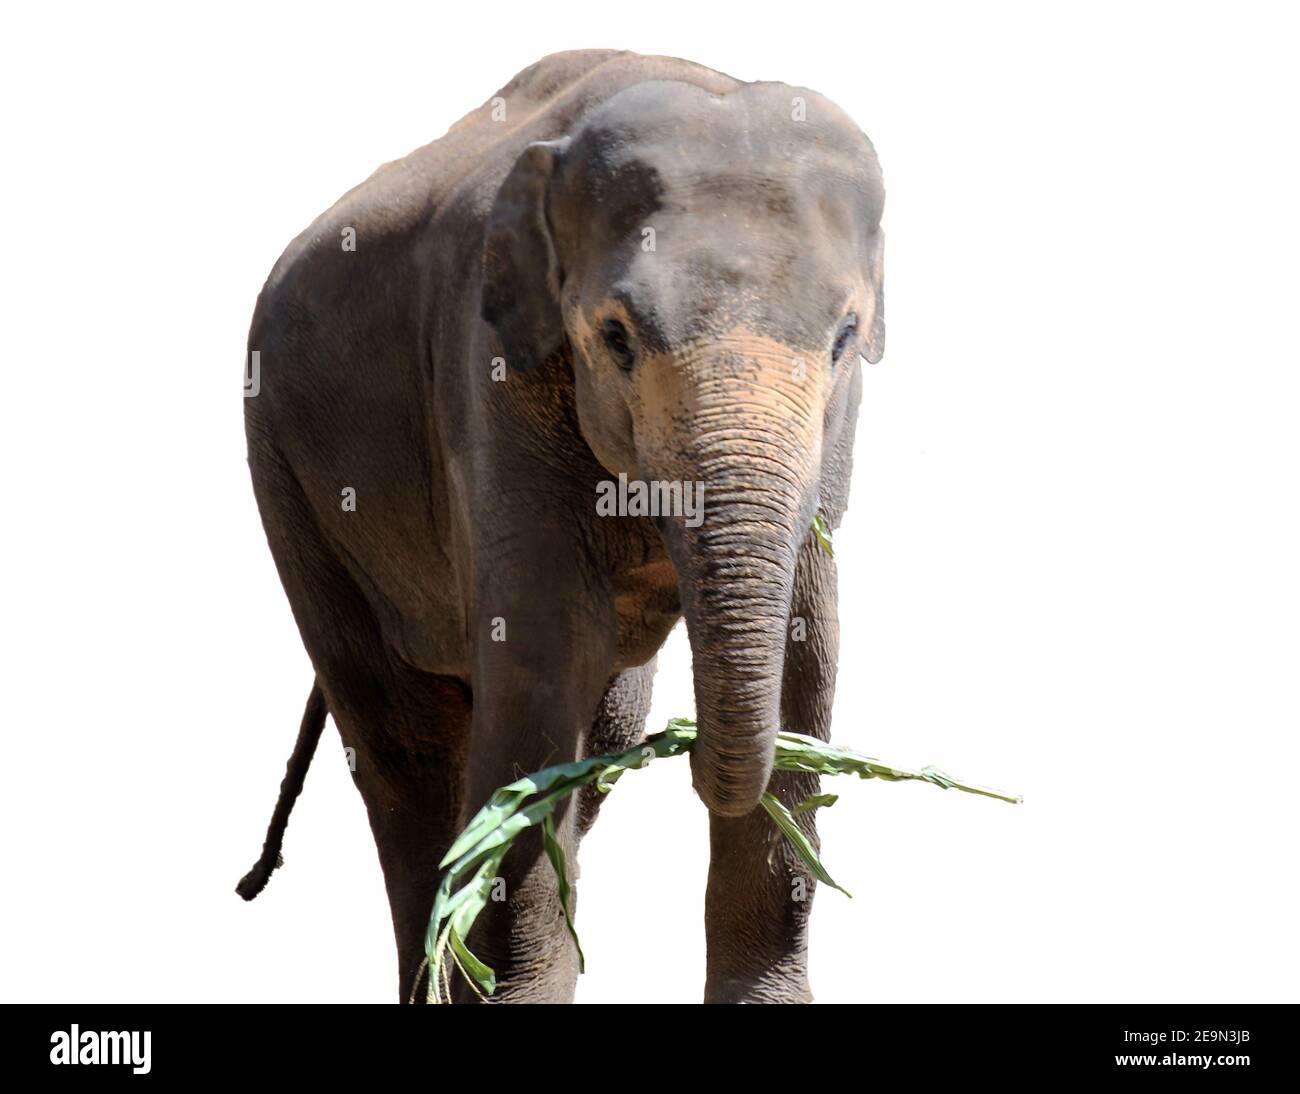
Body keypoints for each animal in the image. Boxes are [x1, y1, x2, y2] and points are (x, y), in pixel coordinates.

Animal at [237, 48, 884, 1004]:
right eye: (615, 338)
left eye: (845, 336)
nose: (690, 752)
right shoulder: (490, 375)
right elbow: (542, 649)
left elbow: (809, 646)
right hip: (287, 475)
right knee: (404, 752)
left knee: (601, 728)